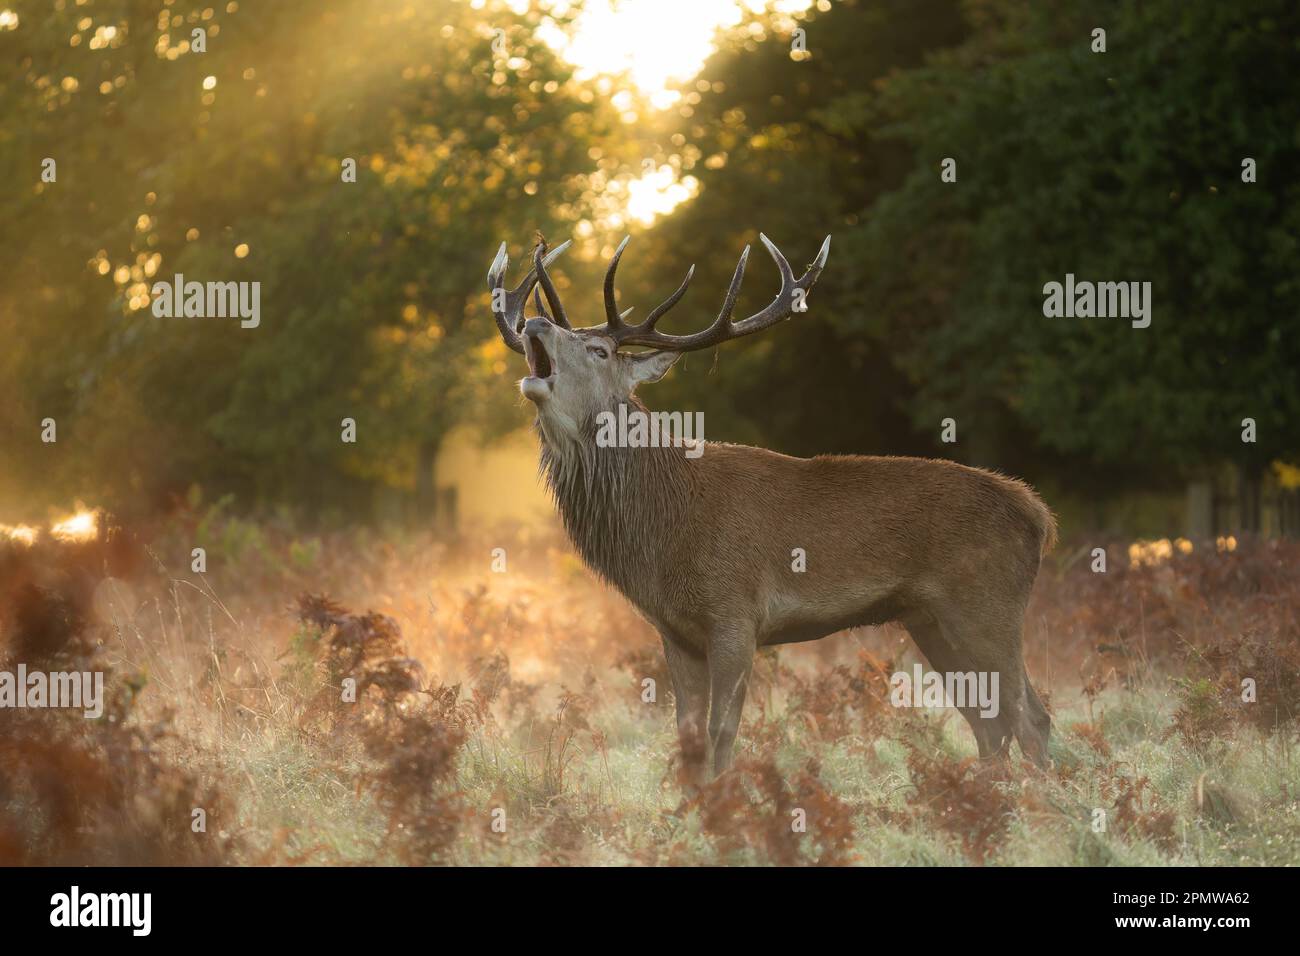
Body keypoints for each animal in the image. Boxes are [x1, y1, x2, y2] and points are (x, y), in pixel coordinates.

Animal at [487, 232, 1056, 784]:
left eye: (599, 349)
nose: (534, 320)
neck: (665, 530)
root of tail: (1038, 515)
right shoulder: (674, 632)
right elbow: (686, 736)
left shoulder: (735, 613)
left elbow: (720, 732)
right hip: (929, 619)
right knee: (989, 725)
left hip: (986, 604)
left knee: (1031, 717)